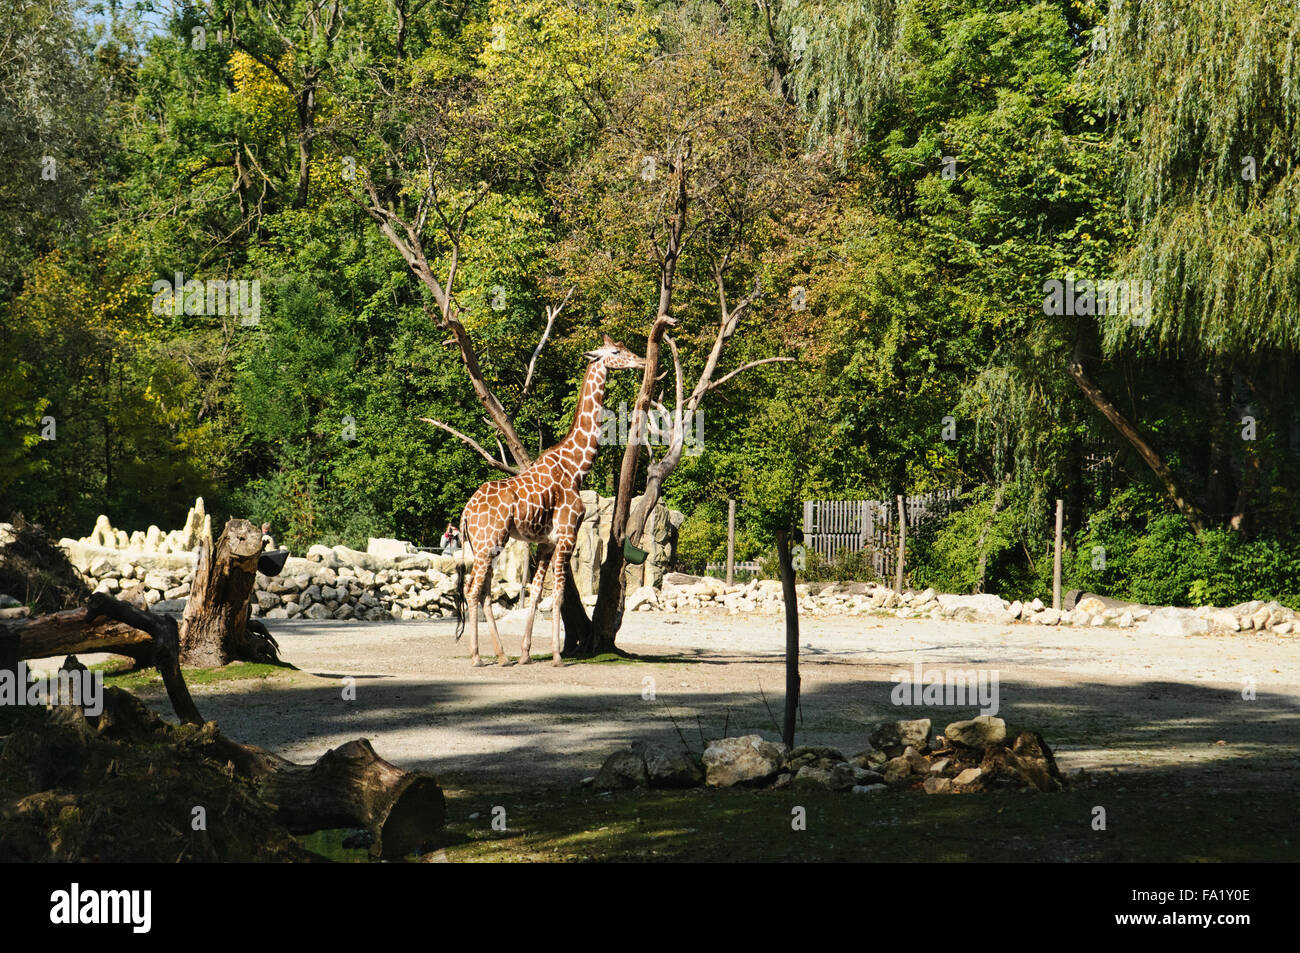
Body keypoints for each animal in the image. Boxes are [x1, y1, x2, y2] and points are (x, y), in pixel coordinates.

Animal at [453, 334, 645, 666]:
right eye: (616, 351)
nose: (643, 361)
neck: (576, 467)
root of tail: (466, 512)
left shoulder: (546, 542)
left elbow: (536, 593)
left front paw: (525, 654)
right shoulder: (568, 535)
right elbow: (557, 593)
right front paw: (556, 655)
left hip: (486, 545)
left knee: (485, 591)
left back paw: (502, 656)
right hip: (489, 542)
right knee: (472, 589)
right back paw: (477, 657)